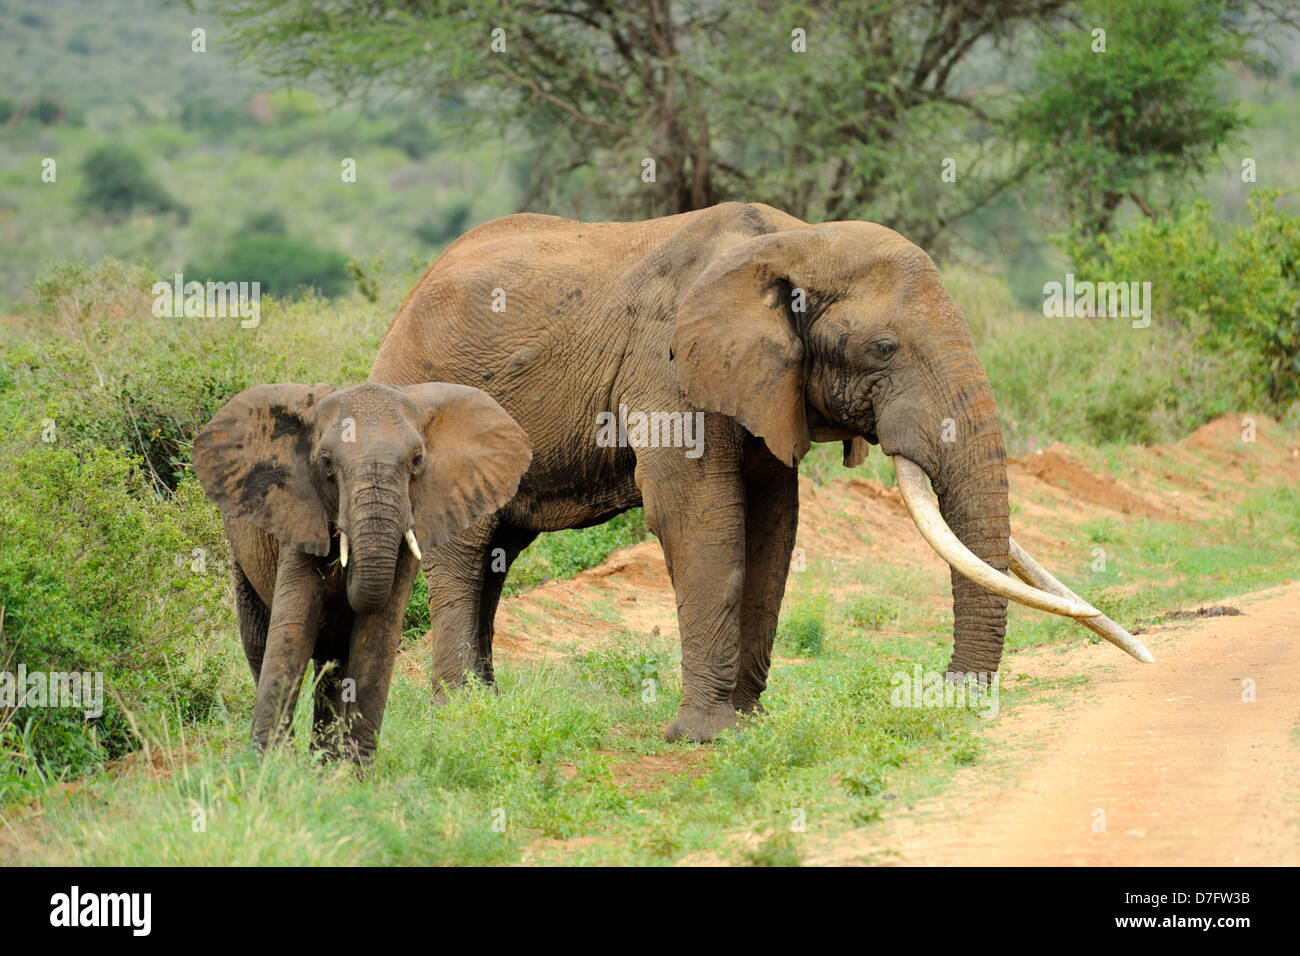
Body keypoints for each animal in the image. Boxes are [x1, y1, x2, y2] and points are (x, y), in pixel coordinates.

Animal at [192, 381, 531, 761]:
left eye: (418, 460)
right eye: (325, 462)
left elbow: (376, 639)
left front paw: (352, 772)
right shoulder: (300, 515)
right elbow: (291, 633)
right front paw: (267, 765)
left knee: (333, 668)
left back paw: (322, 762)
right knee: (259, 641)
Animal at [369, 201, 1151, 743]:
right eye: (883, 346)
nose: (950, 692)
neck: (796, 240)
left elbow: (776, 522)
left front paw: (748, 726)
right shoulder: (667, 368)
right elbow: (699, 517)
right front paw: (704, 738)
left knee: (499, 556)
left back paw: (486, 706)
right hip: (431, 405)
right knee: (466, 552)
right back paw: (461, 717)